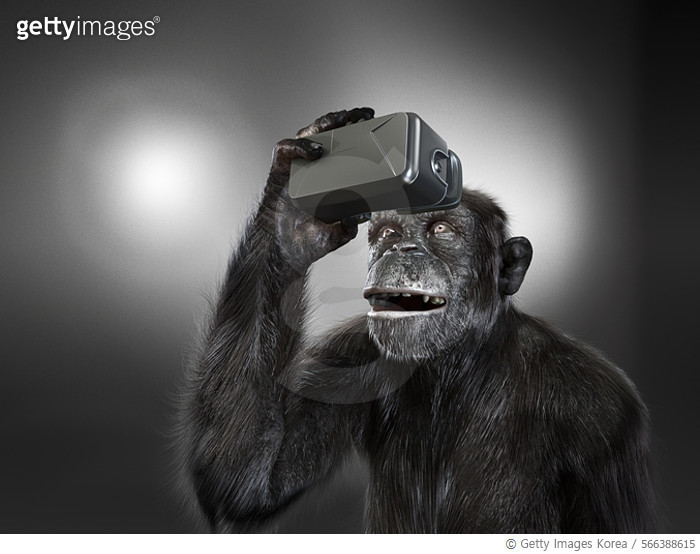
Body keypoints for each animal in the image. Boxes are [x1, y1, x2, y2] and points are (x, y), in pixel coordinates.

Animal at [176, 107, 655, 533]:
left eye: (442, 230)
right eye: (388, 233)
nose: (402, 248)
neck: (457, 365)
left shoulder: (600, 411)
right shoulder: (345, 355)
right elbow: (249, 481)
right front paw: (292, 205)